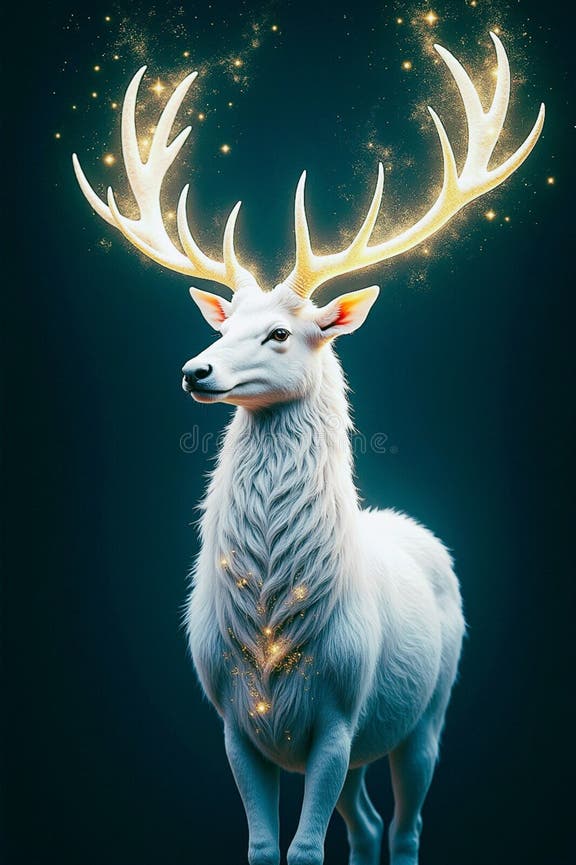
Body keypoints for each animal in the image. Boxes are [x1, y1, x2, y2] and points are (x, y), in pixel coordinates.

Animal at [72, 33, 544, 865]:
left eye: (279, 333)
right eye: (222, 325)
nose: (194, 371)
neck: (270, 632)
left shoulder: (340, 713)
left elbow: (304, 848)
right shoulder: (233, 718)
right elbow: (267, 848)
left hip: (425, 714)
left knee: (406, 824)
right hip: (364, 751)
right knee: (367, 825)